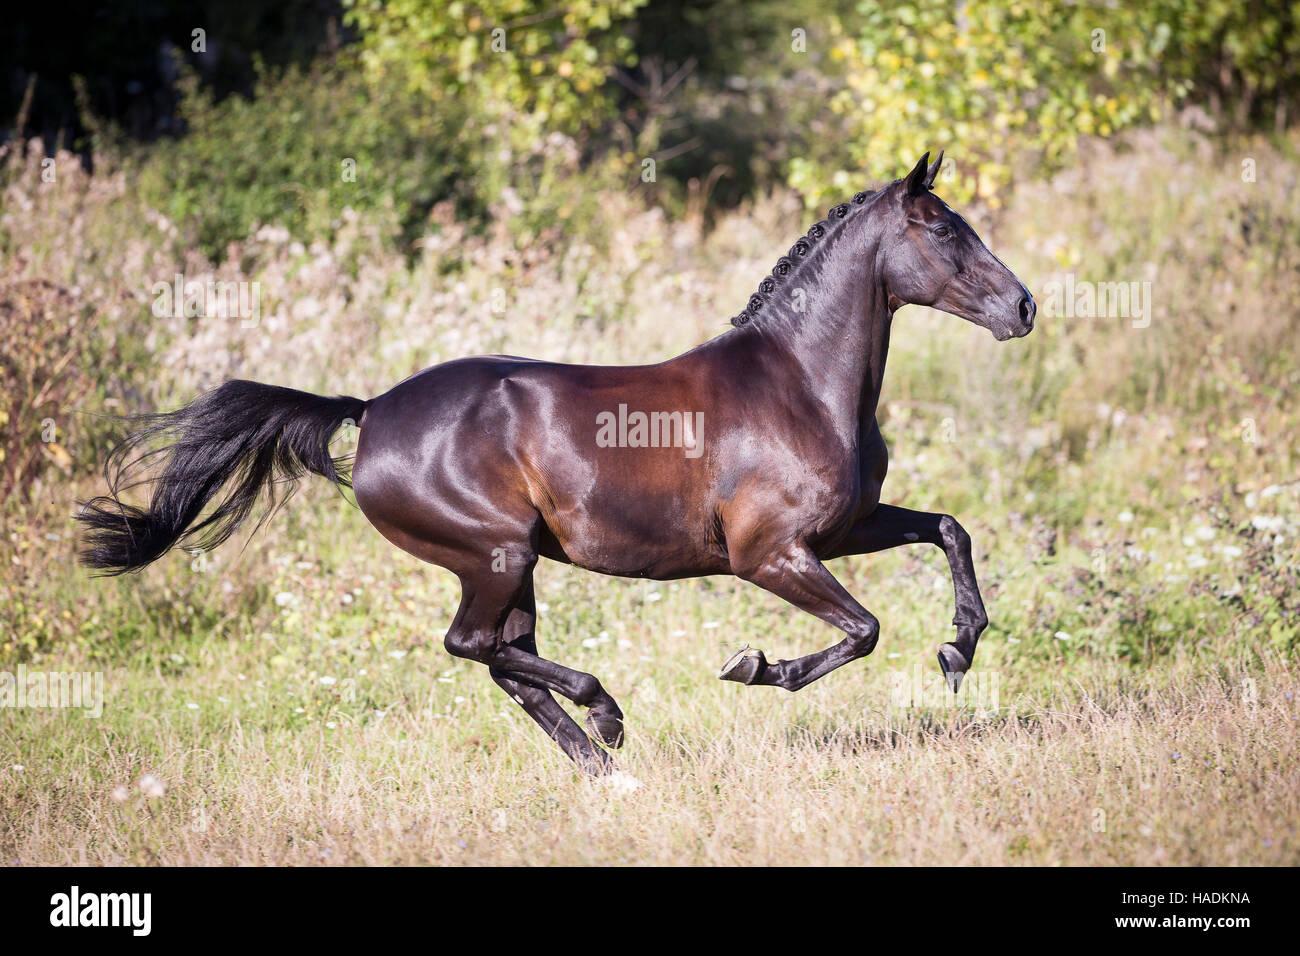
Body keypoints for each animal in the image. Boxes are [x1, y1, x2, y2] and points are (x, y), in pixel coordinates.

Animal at [79, 152, 1035, 773]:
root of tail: (372, 410)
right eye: (941, 228)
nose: (1024, 307)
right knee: (478, 646)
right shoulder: (769, 554)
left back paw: (603, 762)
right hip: (494, 553)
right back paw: (605, 717)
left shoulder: (843, 530)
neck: (798, 383)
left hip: (515, 564)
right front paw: (759, 666)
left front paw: (959, 649)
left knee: (506, 661)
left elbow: (948, 529)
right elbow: (863, 629)